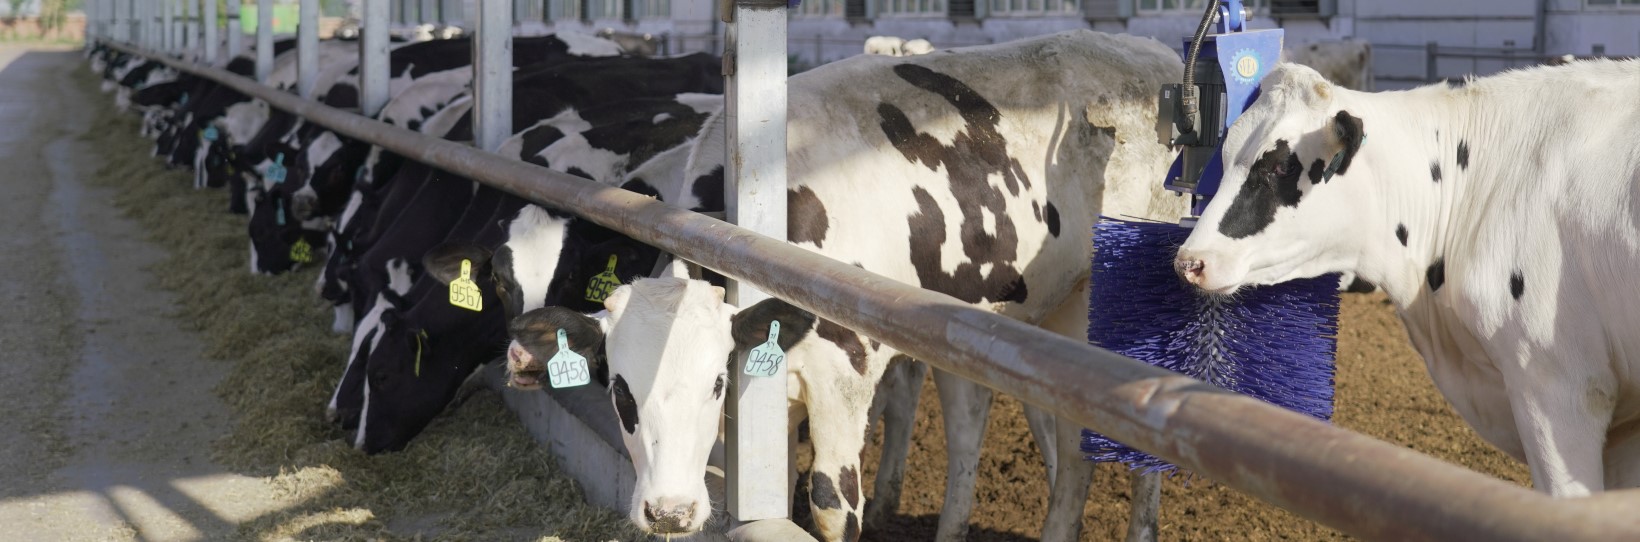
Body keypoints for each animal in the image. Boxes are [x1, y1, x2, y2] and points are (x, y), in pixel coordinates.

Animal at [505, 29, 1187, 541]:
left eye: (715, 384)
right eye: (620, 390)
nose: (669, 512)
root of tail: (1156, 53)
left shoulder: (846, 376)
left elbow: (831, 507)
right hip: (1052, 315)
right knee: (1064, 446)